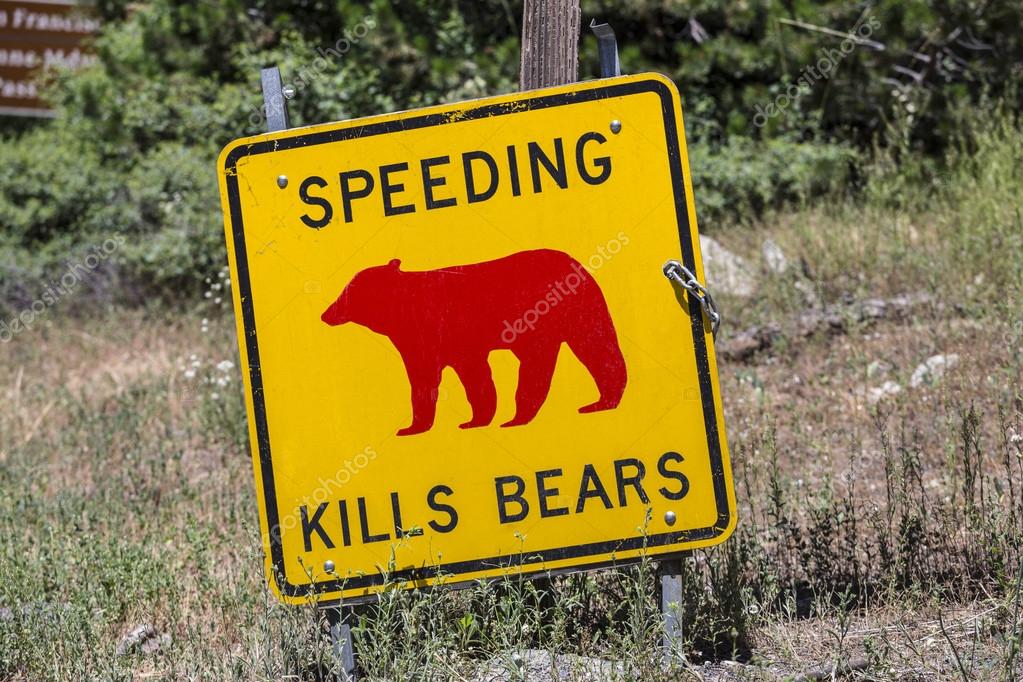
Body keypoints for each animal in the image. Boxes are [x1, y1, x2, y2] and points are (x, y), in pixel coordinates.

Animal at [321, 249, 627, 436]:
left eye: (347, 291)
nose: (325, 313)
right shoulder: (460, 345)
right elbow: (474, 375)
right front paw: (475, 419)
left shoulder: (428, 332)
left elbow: (424, 376)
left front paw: (411, 426)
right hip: (582, 309)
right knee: (596, 347)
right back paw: (601, 401)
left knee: (555, 357)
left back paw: (519, 416)